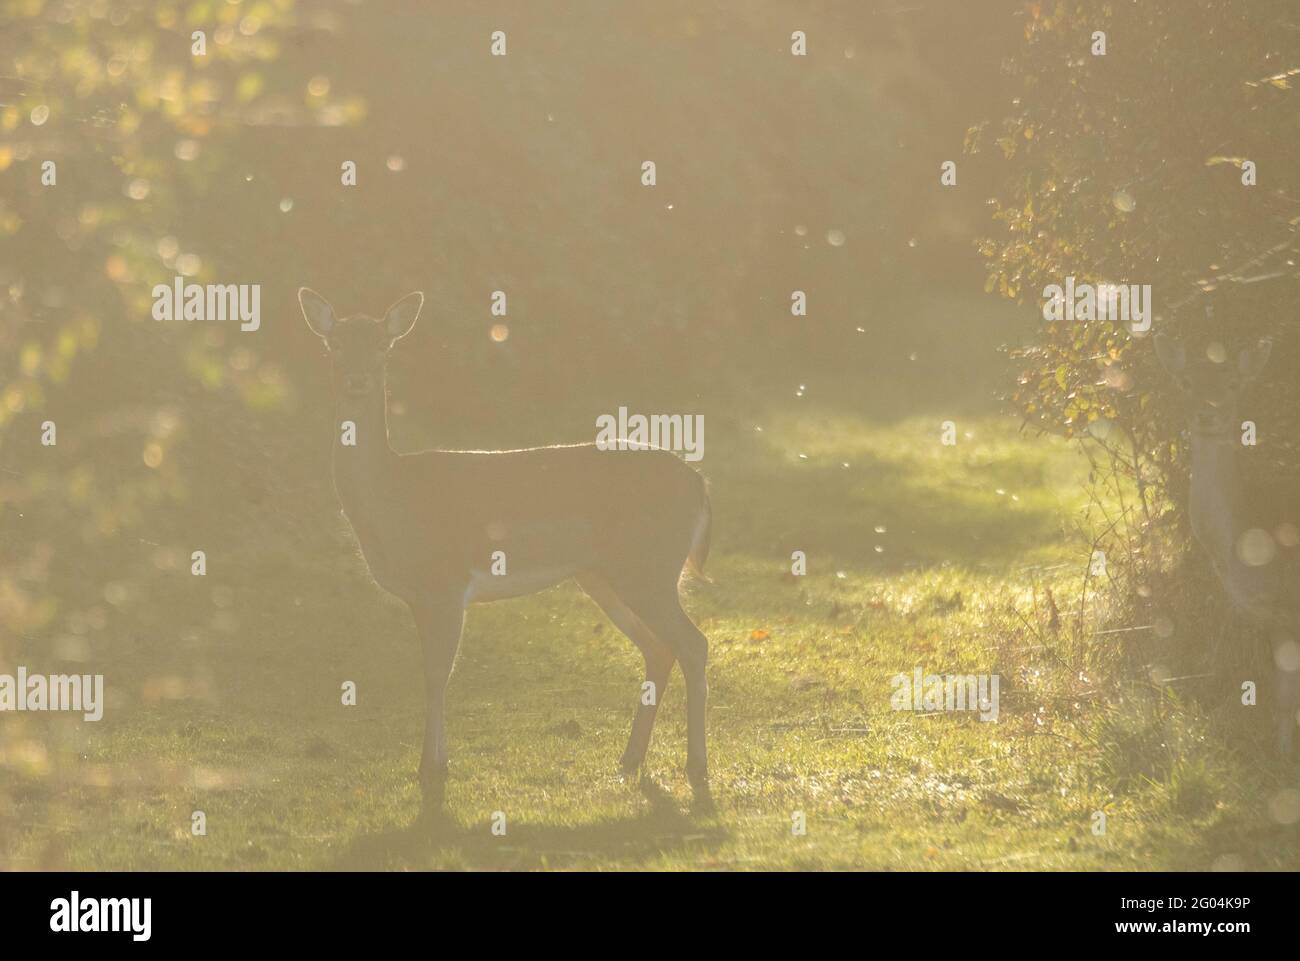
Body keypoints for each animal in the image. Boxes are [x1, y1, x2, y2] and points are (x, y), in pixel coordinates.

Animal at [297, 288, 714, 816]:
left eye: (382, 346)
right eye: (333, 344)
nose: (356, 379)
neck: (394, 501)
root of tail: (699, 484)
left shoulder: (446, 583)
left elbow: (437, 673)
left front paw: (431, 769)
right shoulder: (419, 596)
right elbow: (431, 671)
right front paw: (435, 764)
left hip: (650, 566)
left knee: (693, 644)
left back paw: (695, 768)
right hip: (606, 576)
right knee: (660, 648)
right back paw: (629, 759)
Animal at [1153, 334, 1299, 757]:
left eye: (1233, 384)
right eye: (1186, 382)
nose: (1208, 414)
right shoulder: (1277, 618)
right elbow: (1284, 696)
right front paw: (1282, 756)